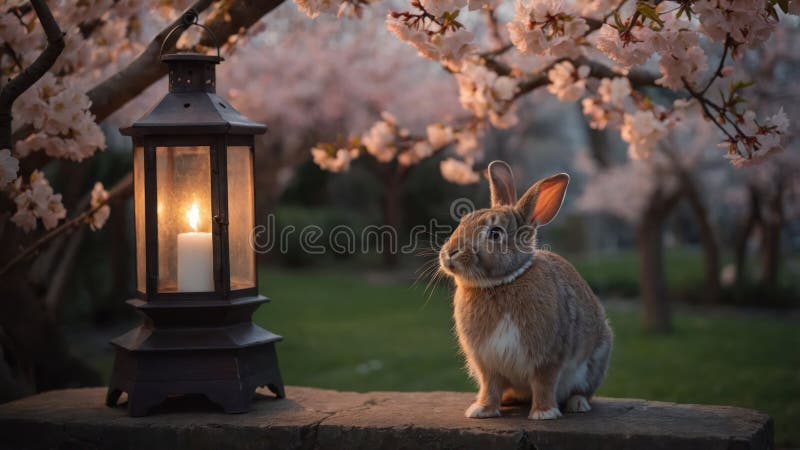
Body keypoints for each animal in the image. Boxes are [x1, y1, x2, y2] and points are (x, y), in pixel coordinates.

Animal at [438, 160, 613, 420]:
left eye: (495, 233)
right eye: (464, 221)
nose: (450, 253)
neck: (503, 282)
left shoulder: (548, 357)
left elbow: (543, 383)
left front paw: (544, 413)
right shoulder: (487, 361)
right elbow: (490, 385)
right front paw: (482, 410)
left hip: (595, 361)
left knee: (583, 390)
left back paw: (577, 403)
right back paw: (507, 400)